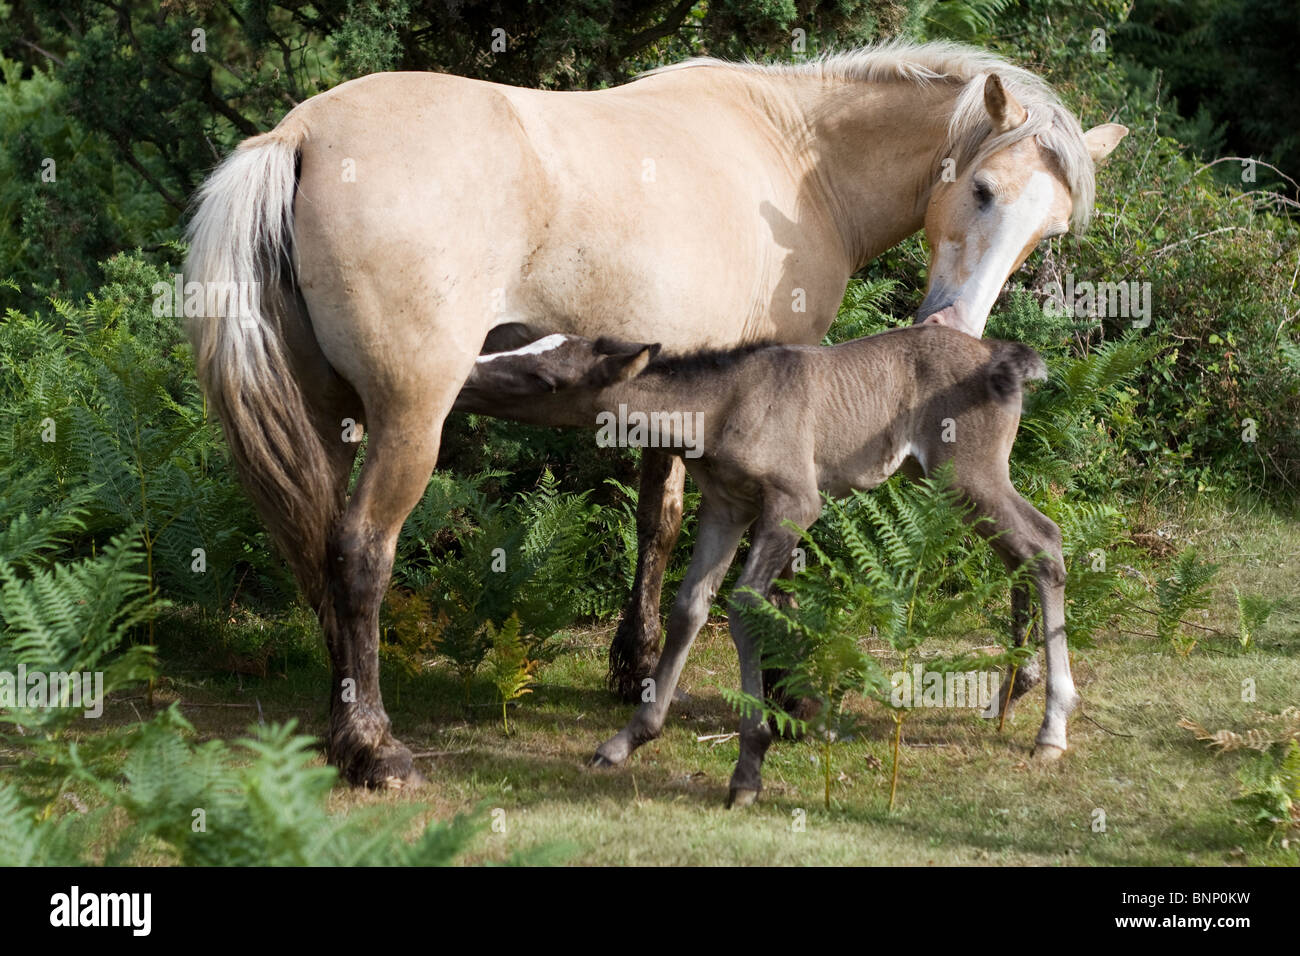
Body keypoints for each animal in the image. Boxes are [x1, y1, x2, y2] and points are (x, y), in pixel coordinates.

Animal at [184, 40, 1125, 787]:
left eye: (1049, 230)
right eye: (982, 189)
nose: (956, 331)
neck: (795, 152)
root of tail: (300, 136)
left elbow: (660, 523)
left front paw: (634, 668)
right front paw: (783, 695)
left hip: (330, 418)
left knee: (317, 550)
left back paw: (342, 727)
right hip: (412, 417)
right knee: (360, 555)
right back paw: (376, 747)